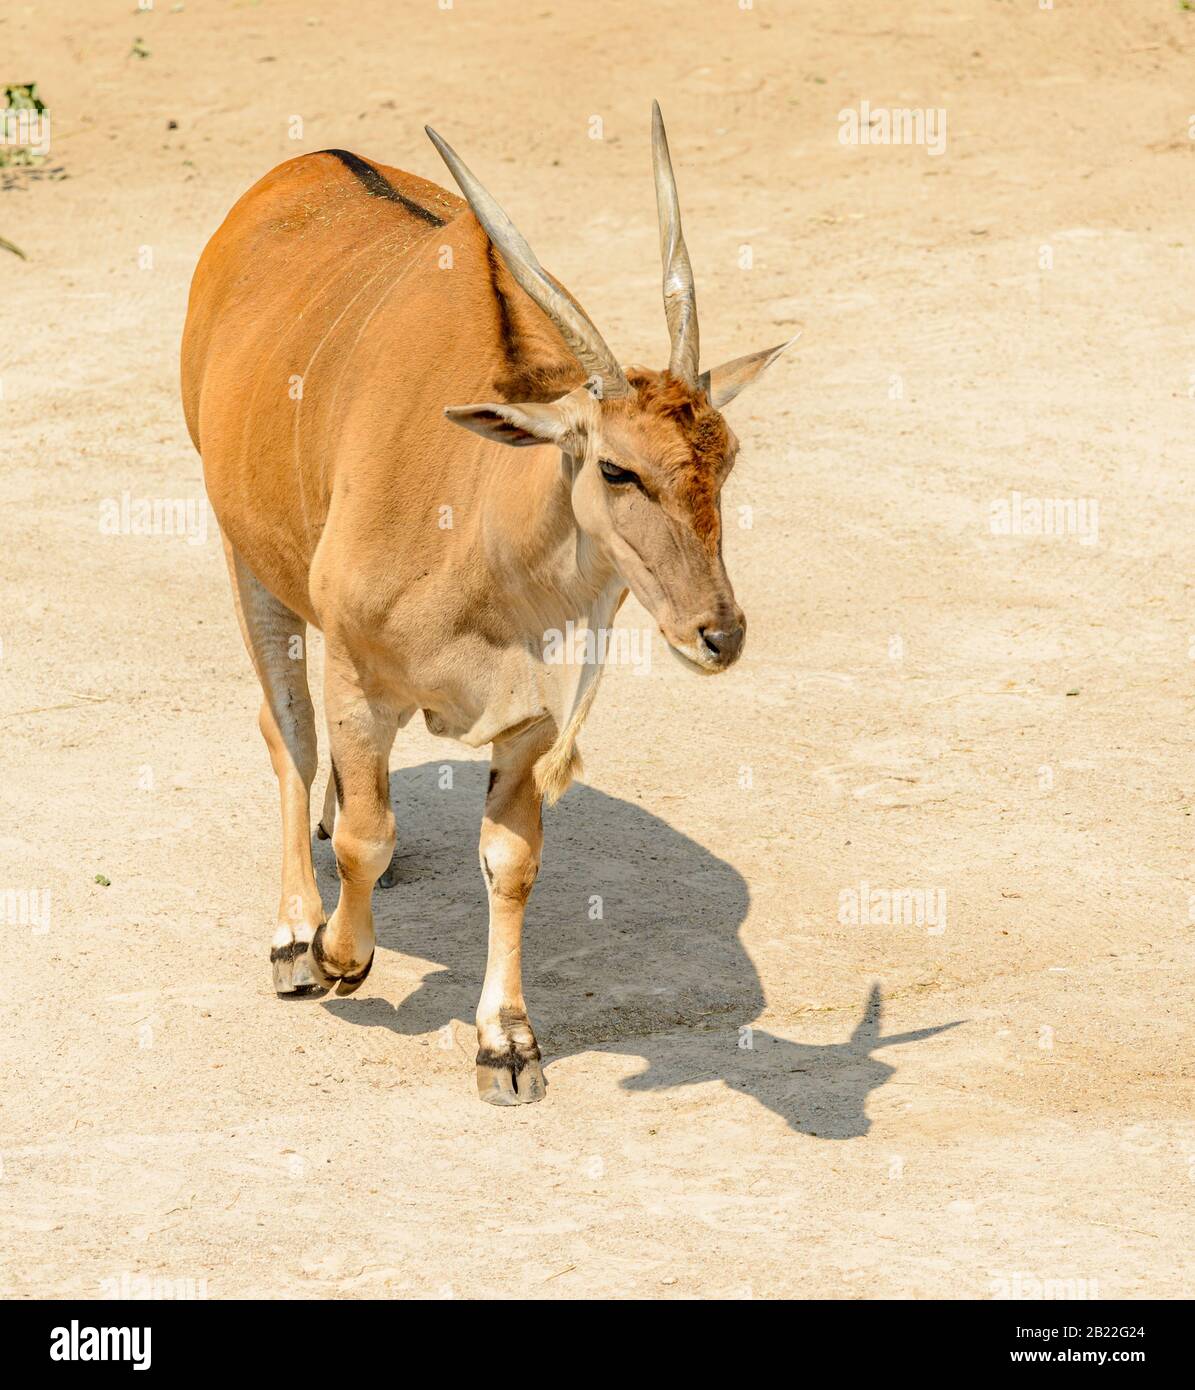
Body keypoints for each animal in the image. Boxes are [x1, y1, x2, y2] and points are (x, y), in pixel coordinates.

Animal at [181, 105, 795, 1104]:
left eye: (727, 455)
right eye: (615, 468)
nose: (719, 633)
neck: (478, 527)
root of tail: (299, 170)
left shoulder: (532, 720)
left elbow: (508, 864)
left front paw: (505, 1043)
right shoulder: (358, 675)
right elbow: (364, 836)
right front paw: (338, 954)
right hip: (248, 561)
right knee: (290, 738)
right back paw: (294, 933)